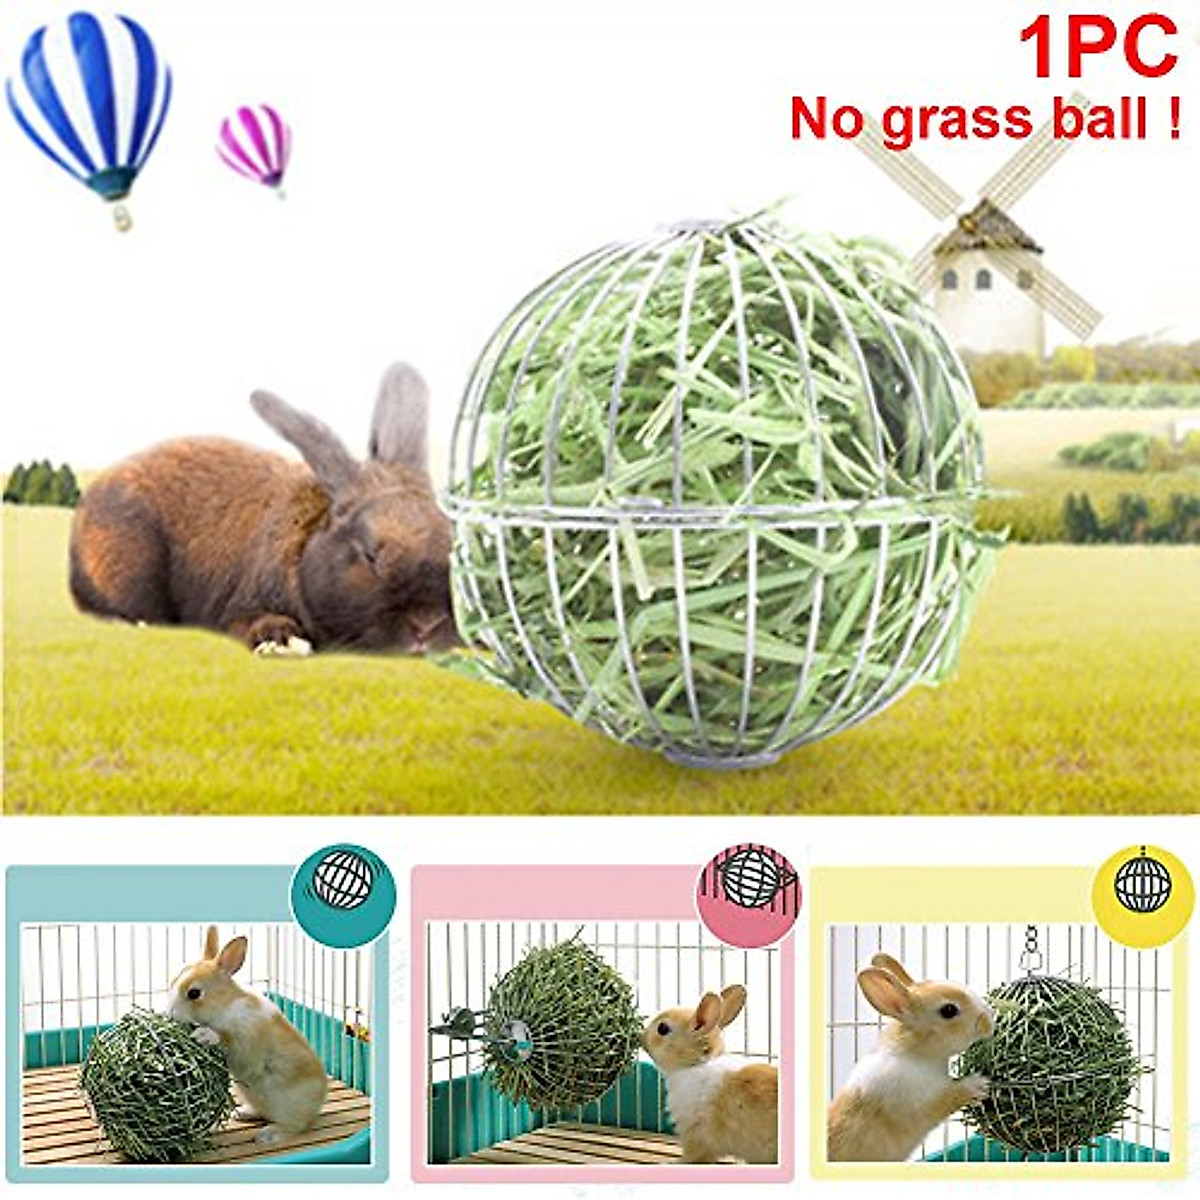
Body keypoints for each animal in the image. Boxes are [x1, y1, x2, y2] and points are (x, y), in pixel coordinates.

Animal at [167, 926, 328, 1145]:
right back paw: (242, 1113)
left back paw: (267, 1135)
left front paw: (203, 1035)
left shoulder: (244, 1037)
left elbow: (225, 1037)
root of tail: (319, 1104)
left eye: (194, 993)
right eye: (174, 980)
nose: (169, 1013)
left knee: (296, 1127)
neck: (224, 1005)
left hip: (287, 1105)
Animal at [642, 984, 778, 1164]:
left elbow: (692, 1157)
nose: (641, 1037)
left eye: (662, 1028)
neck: (697, 1064)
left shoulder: (696, 1135)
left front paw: (672, 1162)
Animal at [826, 953, 995, 1162]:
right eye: (949, 1010)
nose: (990, 1020)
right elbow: (947, 1098)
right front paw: (978, 1084)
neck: (915, 1053)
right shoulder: (917, 1105)